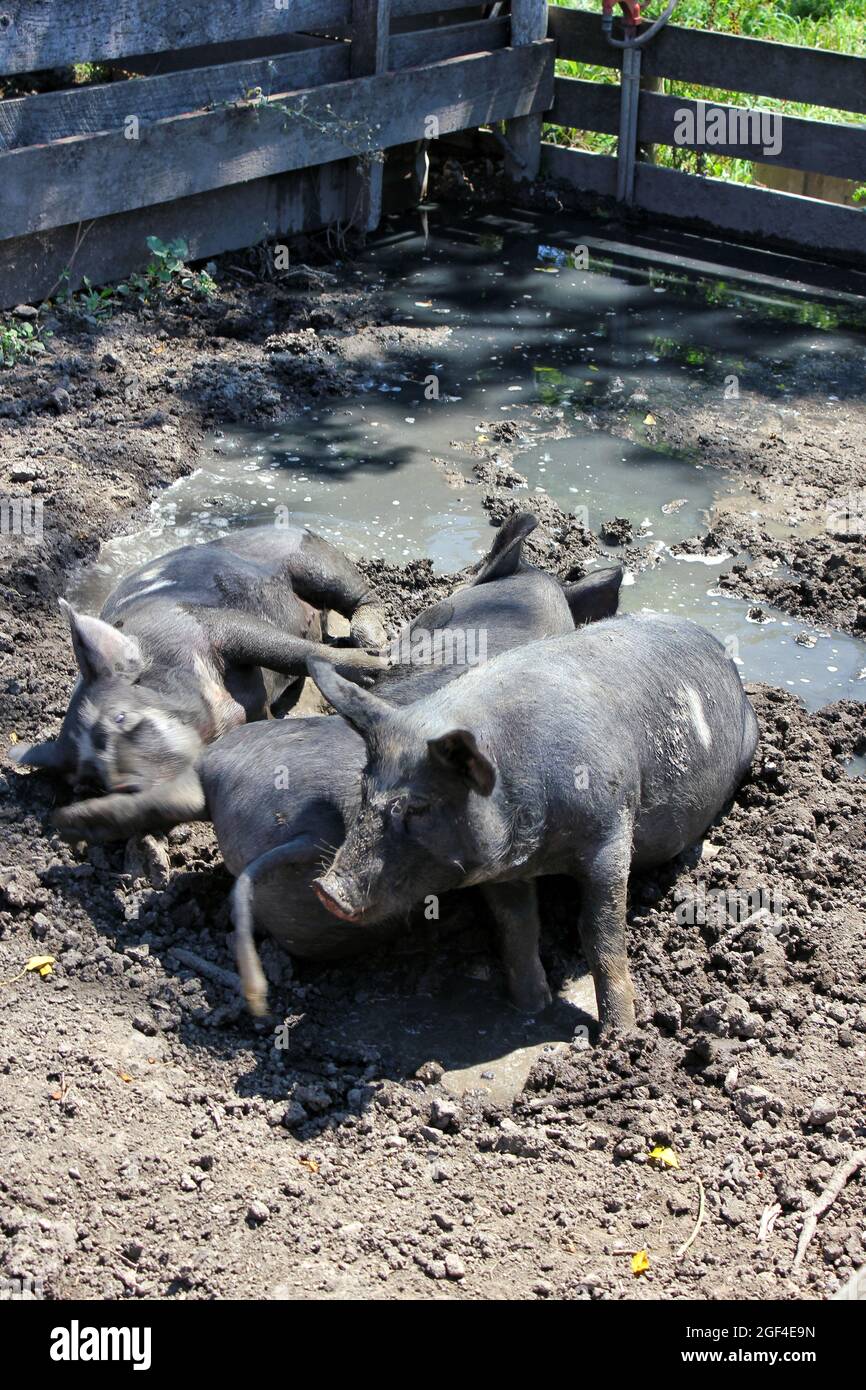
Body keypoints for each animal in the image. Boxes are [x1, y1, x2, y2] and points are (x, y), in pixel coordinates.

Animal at [14, 525, 387, 832]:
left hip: (311, 557)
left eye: (120, 717)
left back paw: (374, 640)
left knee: (359, 596)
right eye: (90, 781)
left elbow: (284, 650)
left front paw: (378, 667)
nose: (123, 787)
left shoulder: (205, 622)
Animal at [309, 616, 759, 1033]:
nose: (327, 891)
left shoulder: (611, 831)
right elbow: (517, 927)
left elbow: (600, 933)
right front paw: (529, 1009)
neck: (539, 850)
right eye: (364, 788)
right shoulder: (500, 871)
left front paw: (620, 1035)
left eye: (419, 807)